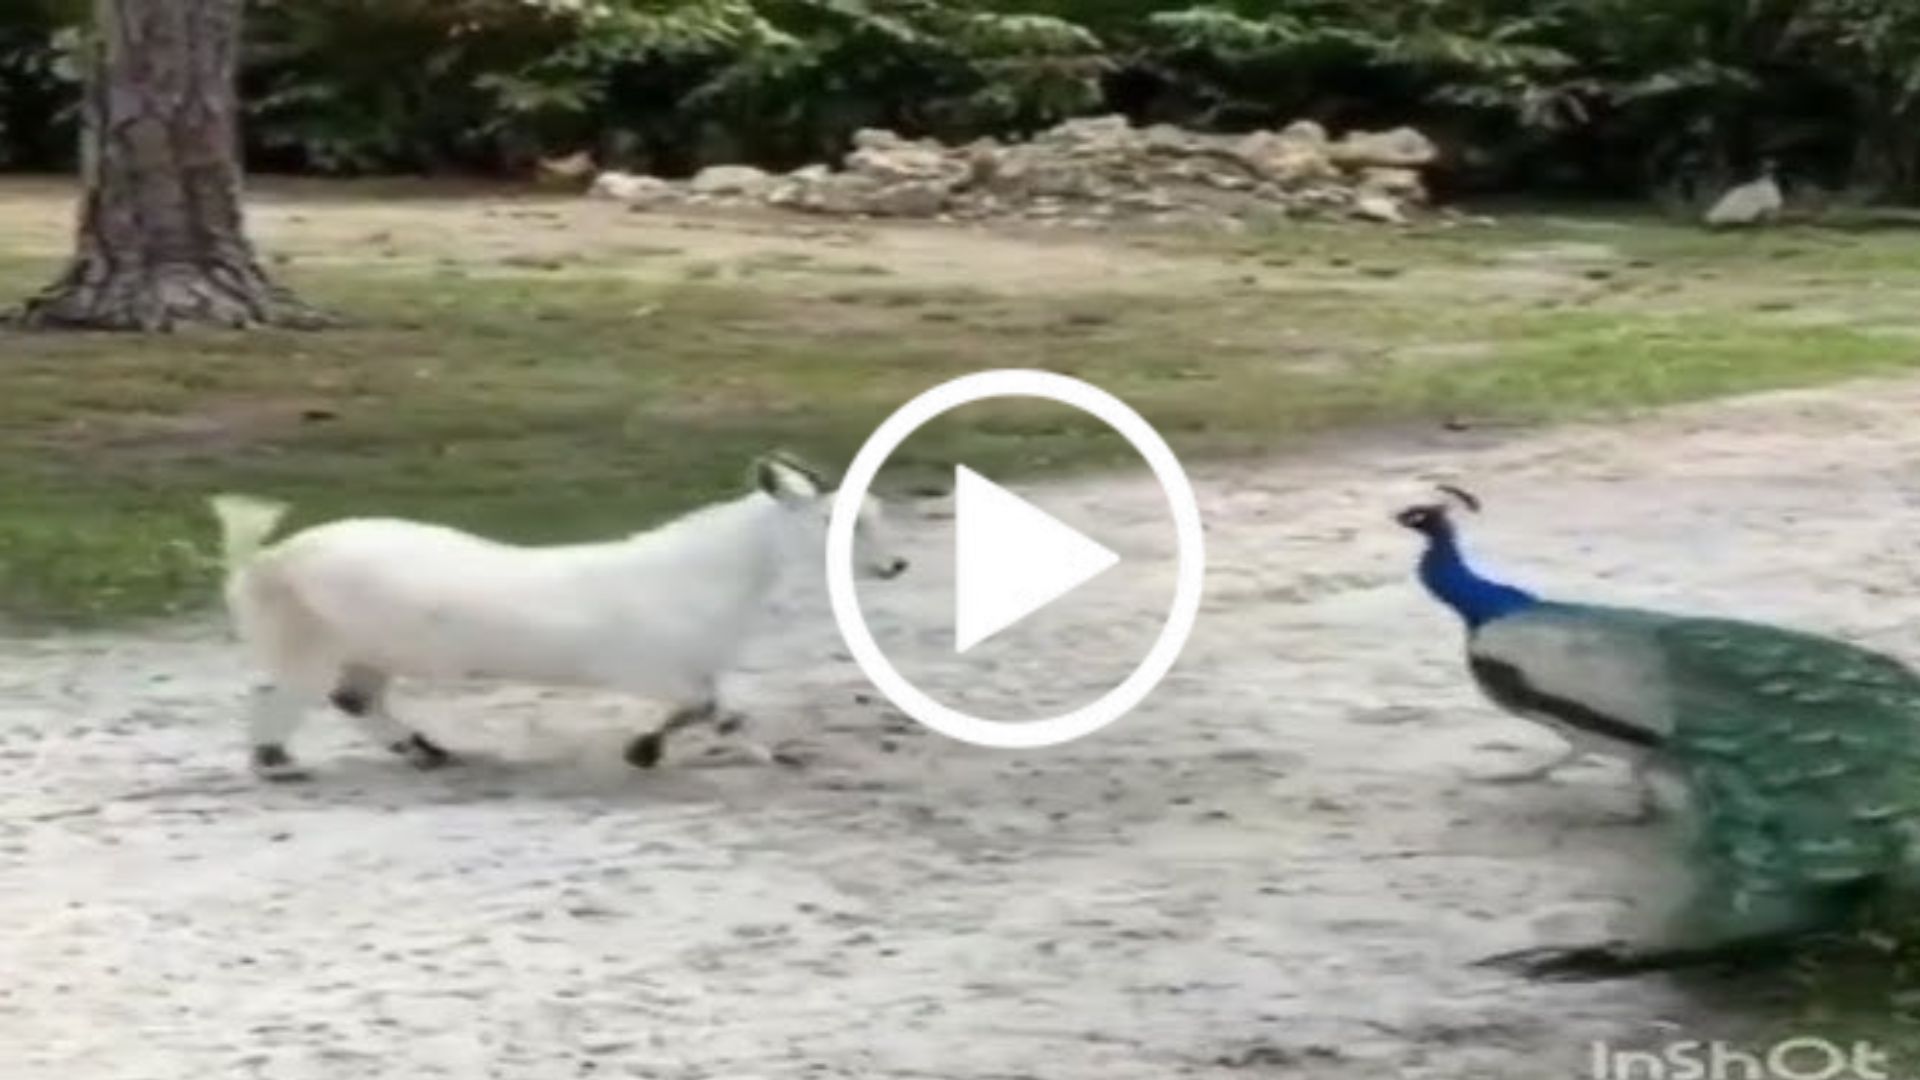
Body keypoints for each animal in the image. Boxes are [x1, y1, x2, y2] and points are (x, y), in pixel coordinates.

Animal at [209, 454, 910, 780]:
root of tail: (266, 559)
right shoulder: (651, 668)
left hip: (368, 650)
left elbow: (701, 708)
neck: (701, 573)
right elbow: (721, 712)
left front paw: (643, 750)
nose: (897, 565)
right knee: (280, 690)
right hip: (307, 640)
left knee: (356, 700)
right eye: (837, 521)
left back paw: (428, 750)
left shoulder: (688, 670)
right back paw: (275, 762)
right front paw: (775, 757)